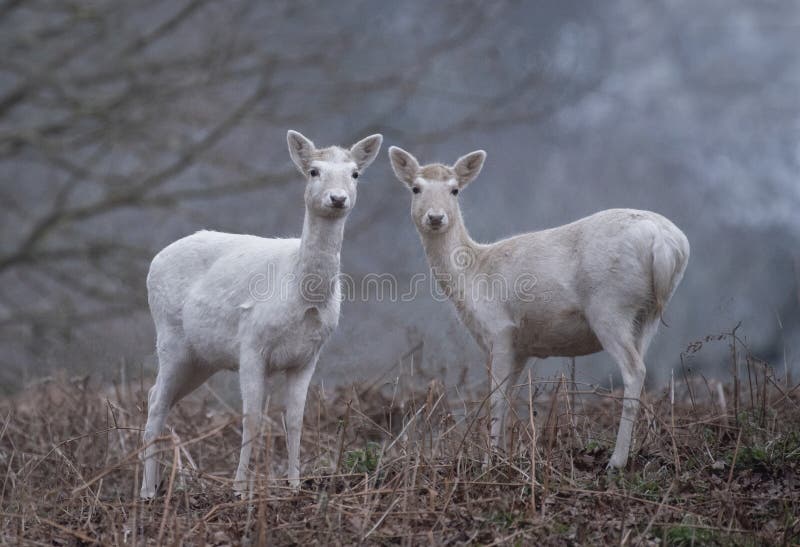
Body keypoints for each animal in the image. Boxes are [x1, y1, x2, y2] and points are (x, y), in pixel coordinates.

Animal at [139, 130, 382, 498]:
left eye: (355, 173)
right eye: (313, 171)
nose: (338, 198)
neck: (302, 294)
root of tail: (154, 262)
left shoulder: (308, 355)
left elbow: (294, 418)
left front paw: (295, 484)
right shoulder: (252, 344)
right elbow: (252, 417)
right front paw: (241, 489)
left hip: (201, 360)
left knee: (158, 396)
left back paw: (154, 486)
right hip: (170, 337)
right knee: (155, 403)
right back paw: (147, 493)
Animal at [388, 145, 689, 469]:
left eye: (455, 189)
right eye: (416, 188)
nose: (435, 217)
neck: (472, 276)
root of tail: (665, 243)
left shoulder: (500, 330)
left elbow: (495, 397)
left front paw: (489, 462)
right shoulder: (522, 347)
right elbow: (509, 397)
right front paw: (503, 454)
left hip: (609, 306)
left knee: (634, 370)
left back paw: (615, 461)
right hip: (648, 314)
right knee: (643, 366)